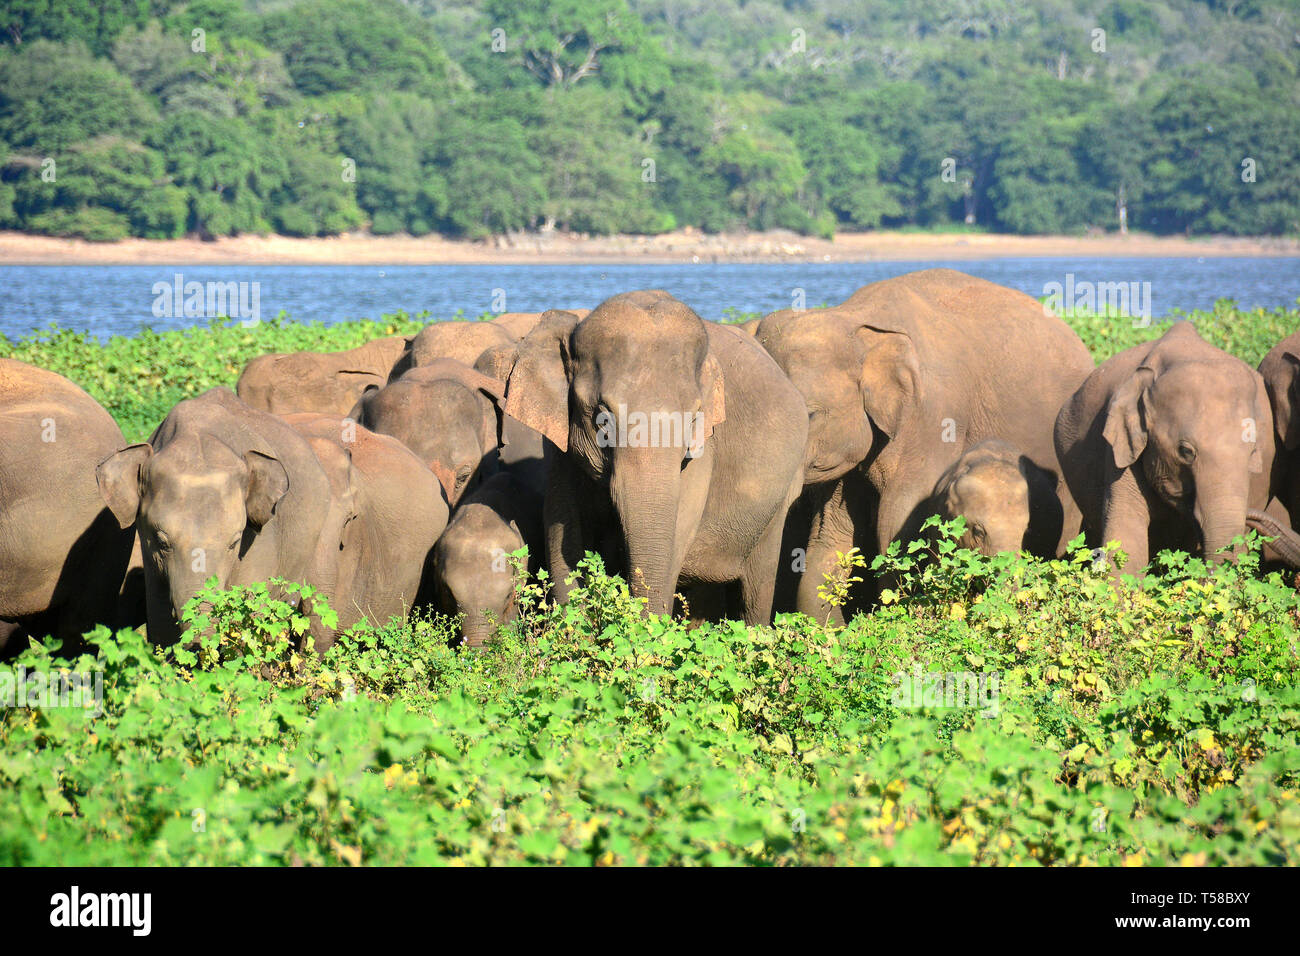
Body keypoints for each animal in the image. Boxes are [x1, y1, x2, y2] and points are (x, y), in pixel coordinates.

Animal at [503, 291, 808, 623]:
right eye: (603, 417)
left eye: (694, 418)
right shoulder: (561, 448)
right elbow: (564, 538)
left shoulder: (703, 451)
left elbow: (677, 533)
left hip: (781, 501)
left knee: (755, 592)